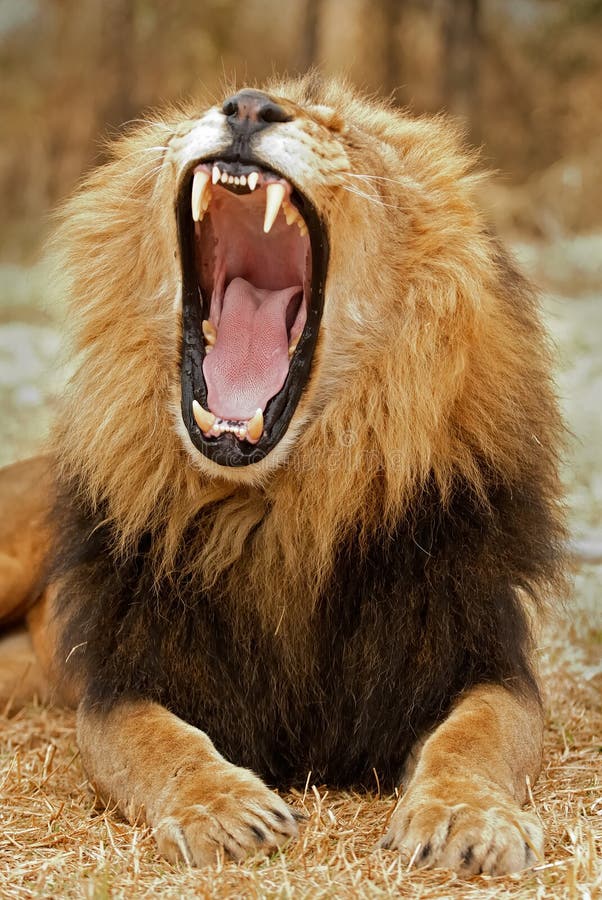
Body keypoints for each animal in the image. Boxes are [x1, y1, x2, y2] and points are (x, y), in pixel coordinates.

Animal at [0, 74, 565, 875]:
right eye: (213, 102)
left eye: (343, 132)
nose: (247, 107)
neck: (280, 507)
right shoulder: (122, 681)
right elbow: (161, 742)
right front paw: (223, 810)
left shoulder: (481, 659)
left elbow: (475, 736)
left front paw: (467, 817)